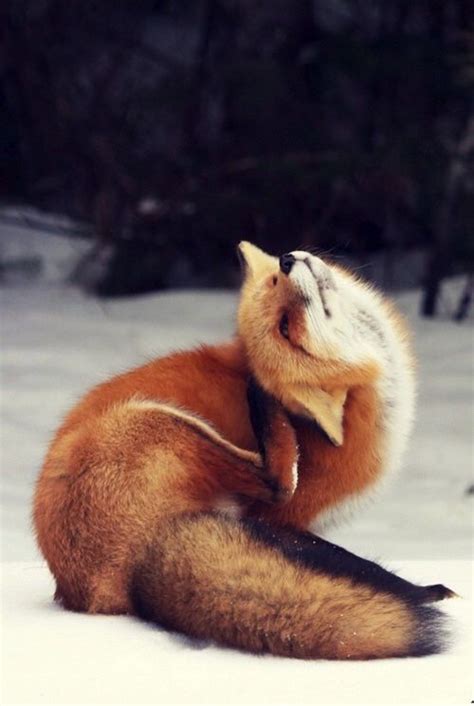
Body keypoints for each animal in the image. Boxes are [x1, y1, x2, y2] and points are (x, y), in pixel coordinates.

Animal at [33, 242, 454, 660]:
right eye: (286, 327)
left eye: (275, 285)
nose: (287, 261)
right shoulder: (281, 519)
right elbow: (347, 559)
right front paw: (420, 593)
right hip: (161, 420)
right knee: (276, 480)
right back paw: (264, 404)